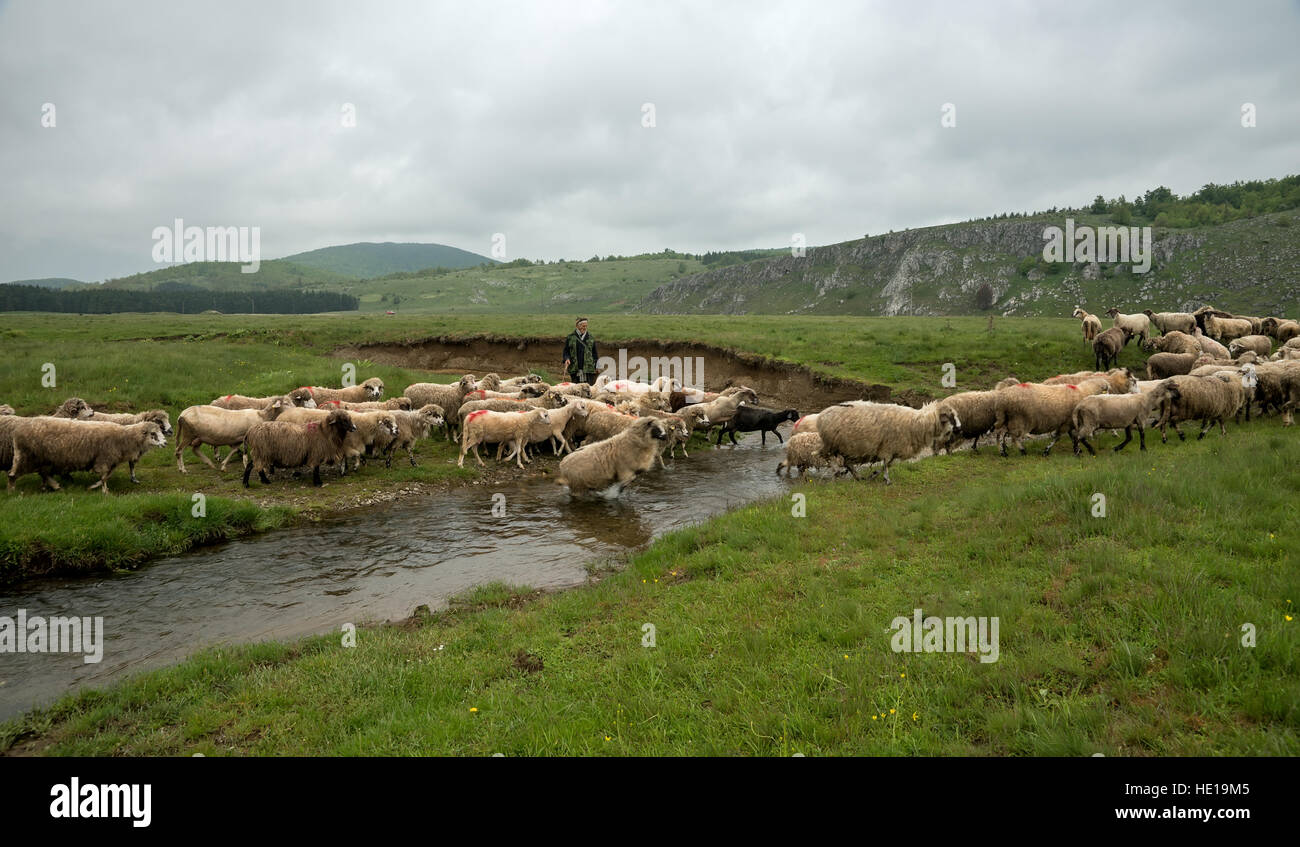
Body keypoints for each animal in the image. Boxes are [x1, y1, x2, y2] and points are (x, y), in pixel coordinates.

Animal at [8, 419, 168, 494]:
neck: (124, 438)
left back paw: (53, 486)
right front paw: (104, 491)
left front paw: (94, 487)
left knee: (43, 473)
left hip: (43, 459)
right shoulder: (104, 459)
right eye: (153, 434)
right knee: (13, 475)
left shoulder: (110, 461)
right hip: (28, 457)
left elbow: (106, 476)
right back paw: (12, 490)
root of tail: (17, 431)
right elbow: (104, 477)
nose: (166, 443)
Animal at [817, 400, 960, 483]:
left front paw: (874, 475)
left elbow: (888, 464)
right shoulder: (888, 447)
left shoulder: (894, 449)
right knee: (825, 456)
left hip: (844, 447)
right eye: (950, 416)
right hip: (832, 443)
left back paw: (857, 476)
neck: (918, 423)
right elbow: (886, 464)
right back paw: (838, 472)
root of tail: (821, 416)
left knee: (846, 463)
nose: (959, 429)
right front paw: (887, 479)